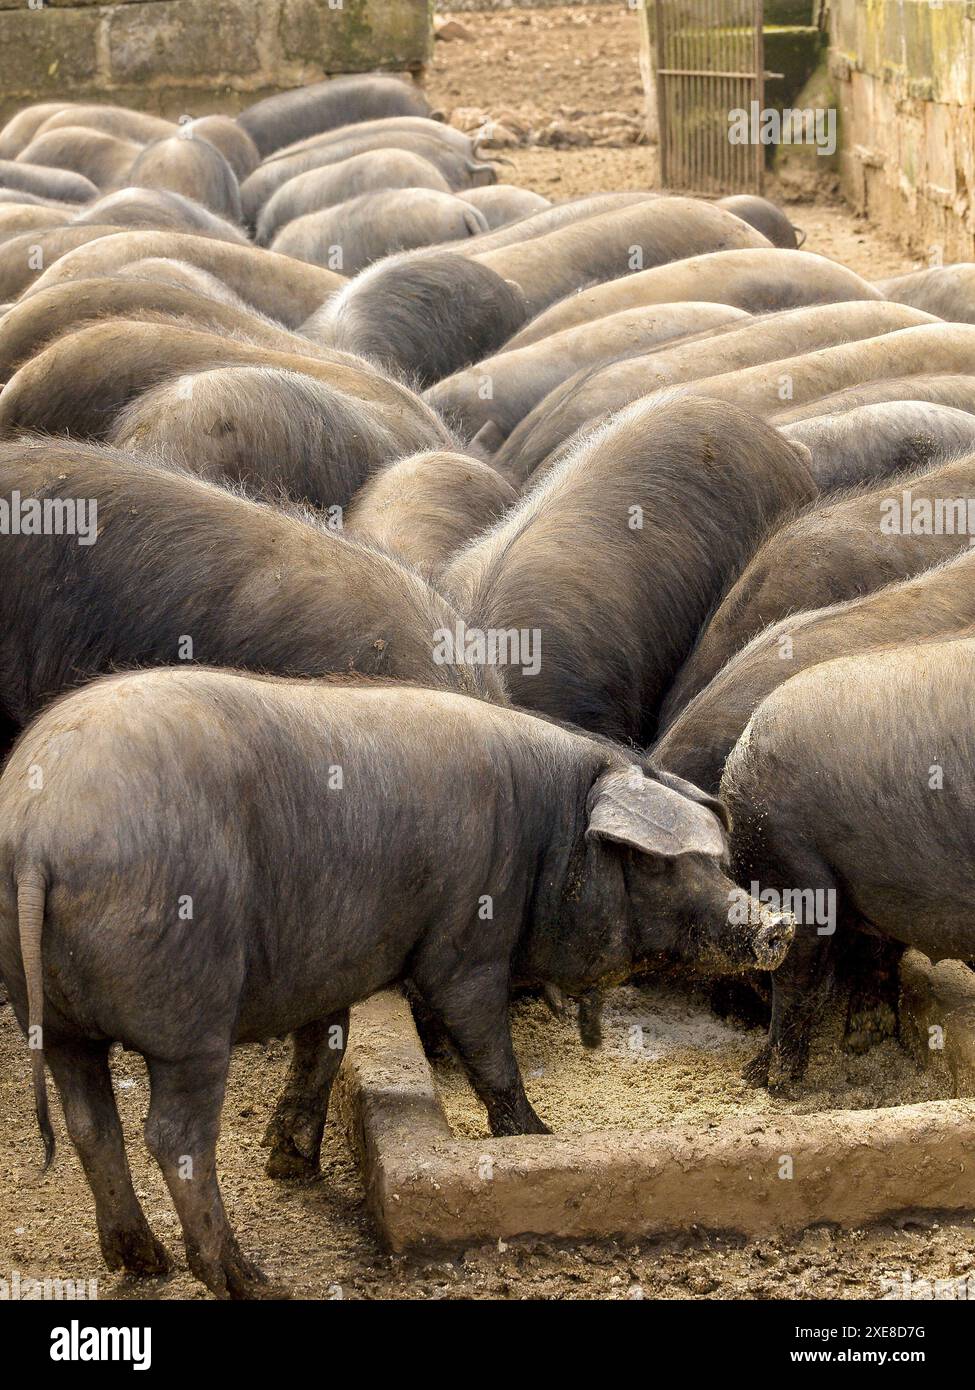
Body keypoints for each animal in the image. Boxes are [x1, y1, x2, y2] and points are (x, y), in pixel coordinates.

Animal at [0, 666, 793, 1296]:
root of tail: (41, 827)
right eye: (662, 863)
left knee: (91, 1125)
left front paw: (291, 1165)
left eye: (716, 858)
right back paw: (249, 1280)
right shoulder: (467, 942)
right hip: (188, 1016)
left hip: (52, 1015)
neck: (551, 828)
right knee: (171, 1135)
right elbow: (485, 1045)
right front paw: (538, 1137)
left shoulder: (325, 967)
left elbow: (323, 1048)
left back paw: (143, 1262)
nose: (778, 924)